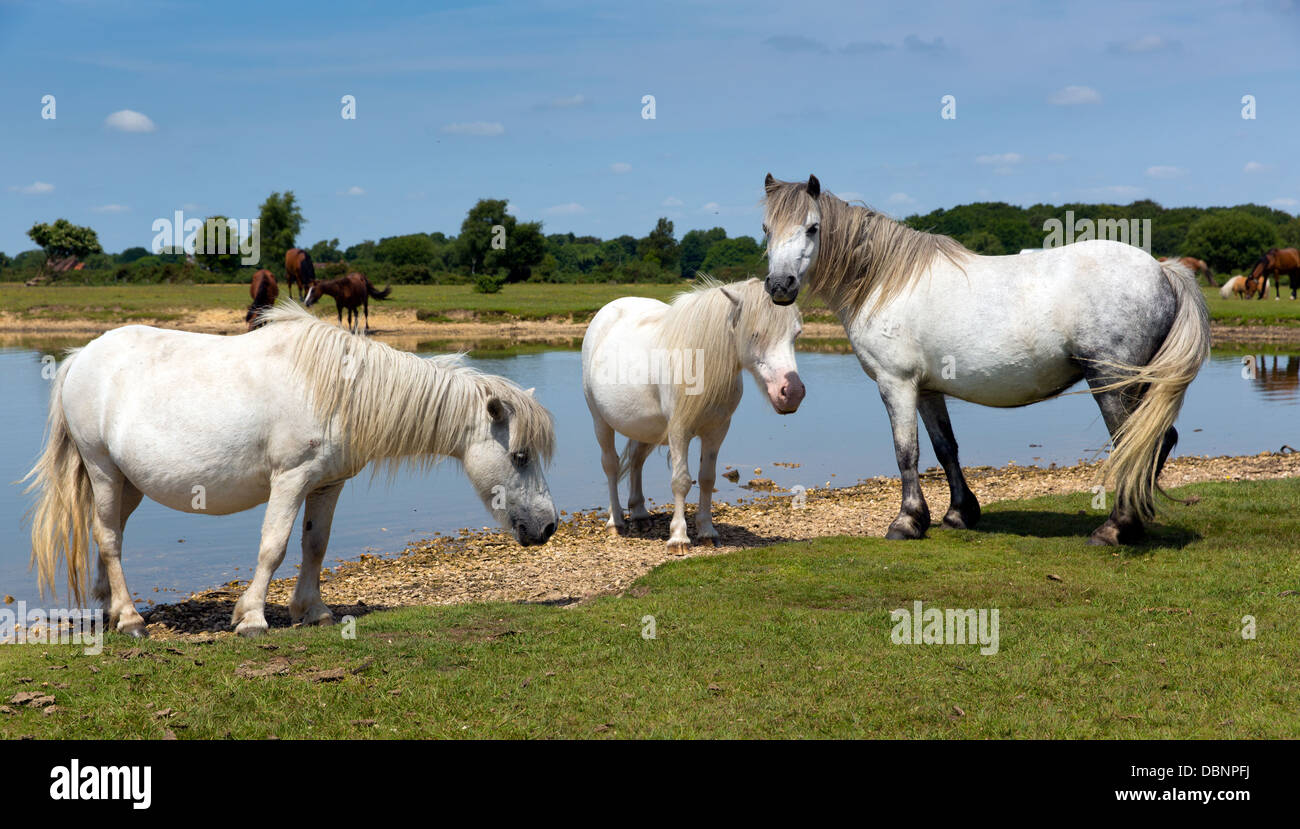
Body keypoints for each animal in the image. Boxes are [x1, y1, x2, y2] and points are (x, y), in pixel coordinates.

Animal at [23, 302, 557, 637]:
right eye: (520, 456)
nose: (548, 526)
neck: (341, 390)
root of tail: (81, 357)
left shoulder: (327, 483)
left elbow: (314, 545)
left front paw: (313, 612)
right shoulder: (291, 479)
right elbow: (274, 546)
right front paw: (252, 618)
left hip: (127, 482)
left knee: (107, 533)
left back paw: (113, 610)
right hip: (102, 469)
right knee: (108, 537)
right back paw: (133, 620)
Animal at [582, 277, 804, 551]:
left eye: (796, 334)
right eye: (755, 333)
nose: (792, 393)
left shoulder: (717, 430)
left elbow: (707, 478)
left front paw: (707, 531)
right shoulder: (679, 430)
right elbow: (681, 481)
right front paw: (678, 538)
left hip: (644, 427)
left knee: (635, 460)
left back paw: (640, 514)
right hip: (600, 421)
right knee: (611, 465)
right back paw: (616, 523)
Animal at [761, 174, 1210, 546]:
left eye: (812, 227)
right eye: (766, 230)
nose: (779, 285)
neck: (885, 283)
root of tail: (1163, 271)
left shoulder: (896, 383)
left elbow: (906, 452)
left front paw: (906, 522)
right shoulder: (927, 389)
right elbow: (945, 447)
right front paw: (959, 514)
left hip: (1111, 381)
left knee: (1134, 442)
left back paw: (1115, 527)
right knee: (1158, 440)